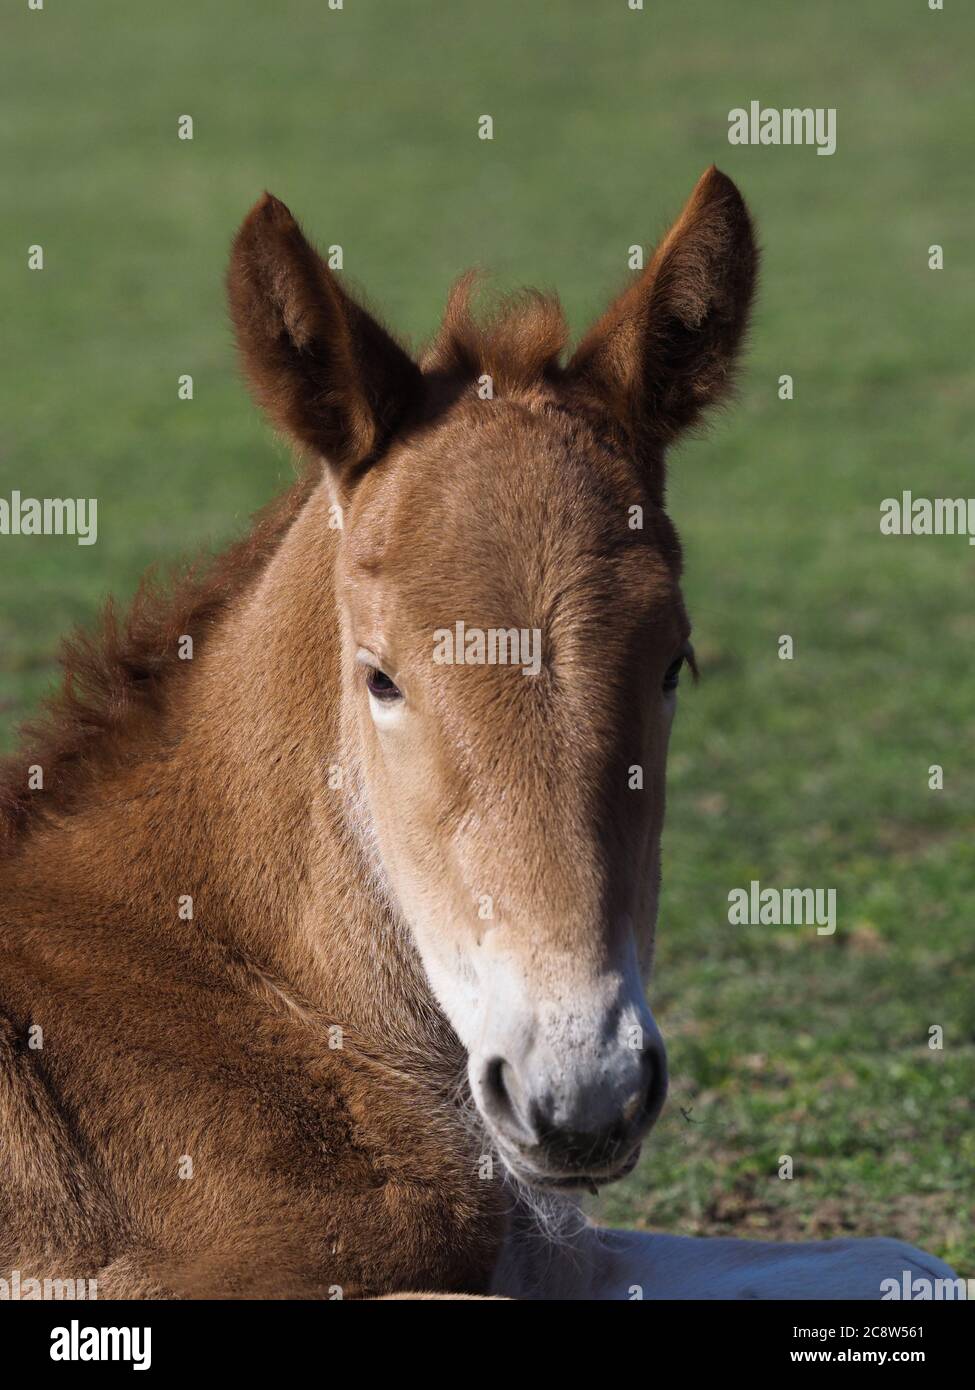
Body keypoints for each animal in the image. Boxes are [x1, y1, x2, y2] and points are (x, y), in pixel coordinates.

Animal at [0, 167, 955, 1299]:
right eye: (379, 677)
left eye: (674, 663)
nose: (581, 1092)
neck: (237, 984)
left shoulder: (539, 1241)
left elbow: (906, 1257)